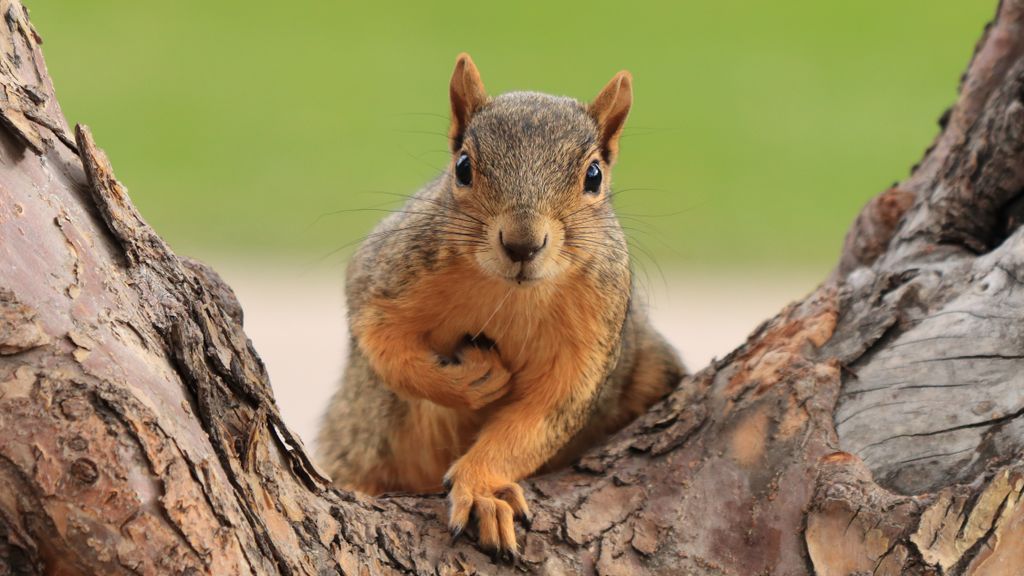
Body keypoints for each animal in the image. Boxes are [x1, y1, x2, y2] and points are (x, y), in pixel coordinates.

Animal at [316, 53, 685, 558]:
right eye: (463, 167)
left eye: (594, 177)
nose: (522, 245)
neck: (510, 295)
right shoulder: (386, 274)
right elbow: (382, 345)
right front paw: (470, 380)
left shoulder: (593, 335)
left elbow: (540, 419)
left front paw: (482, 489)